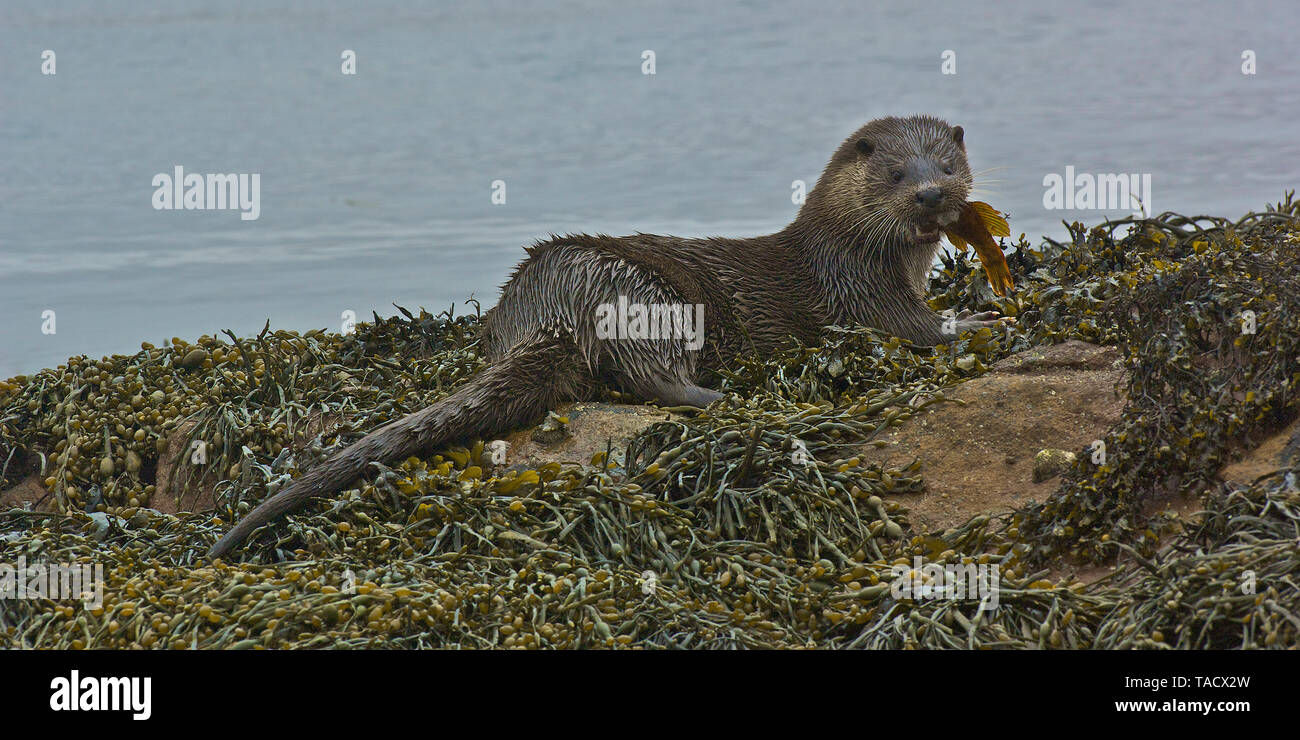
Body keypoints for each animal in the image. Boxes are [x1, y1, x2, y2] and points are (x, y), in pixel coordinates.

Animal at [207, 114, 1006, 558]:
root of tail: (550, 302)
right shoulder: (860, 288)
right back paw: (721, 397)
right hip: (644, 294)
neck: (853, 244)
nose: (932, 194)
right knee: (652, 376)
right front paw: (983, 320)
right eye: (897, 172)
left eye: (949, 165)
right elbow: (915, 327)